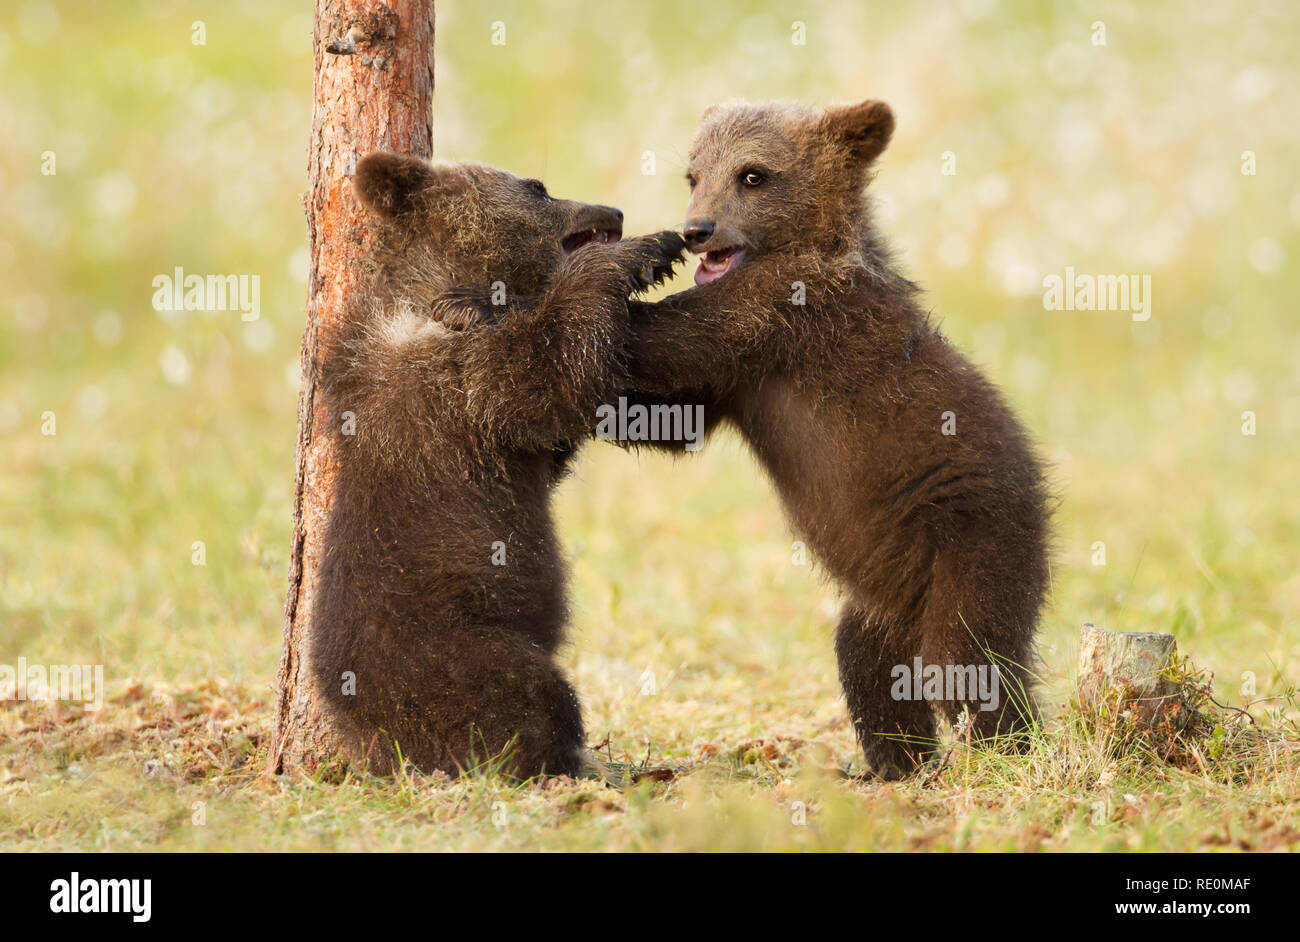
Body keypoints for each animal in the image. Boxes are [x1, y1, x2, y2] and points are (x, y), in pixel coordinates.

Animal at [310, 151, 686, 779]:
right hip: (453, 651)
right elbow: (541, 371)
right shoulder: (447, 382)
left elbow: (552, 434)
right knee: (529, 698)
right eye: (537, 187)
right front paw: (645, 252)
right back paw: (580, 762)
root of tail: (372, 739)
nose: (612, 211)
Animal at [623, 99, 1051, 779]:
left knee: (966, 658)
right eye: (693, 174)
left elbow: (665, 339)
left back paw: (1009, 755)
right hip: (889, 587)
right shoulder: (734, 379)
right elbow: (664, 419)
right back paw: (898, 764)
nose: (696, 230)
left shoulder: (780, 312)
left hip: (977, 535)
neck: (813, 244)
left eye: (753, 174)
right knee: (868, 663)